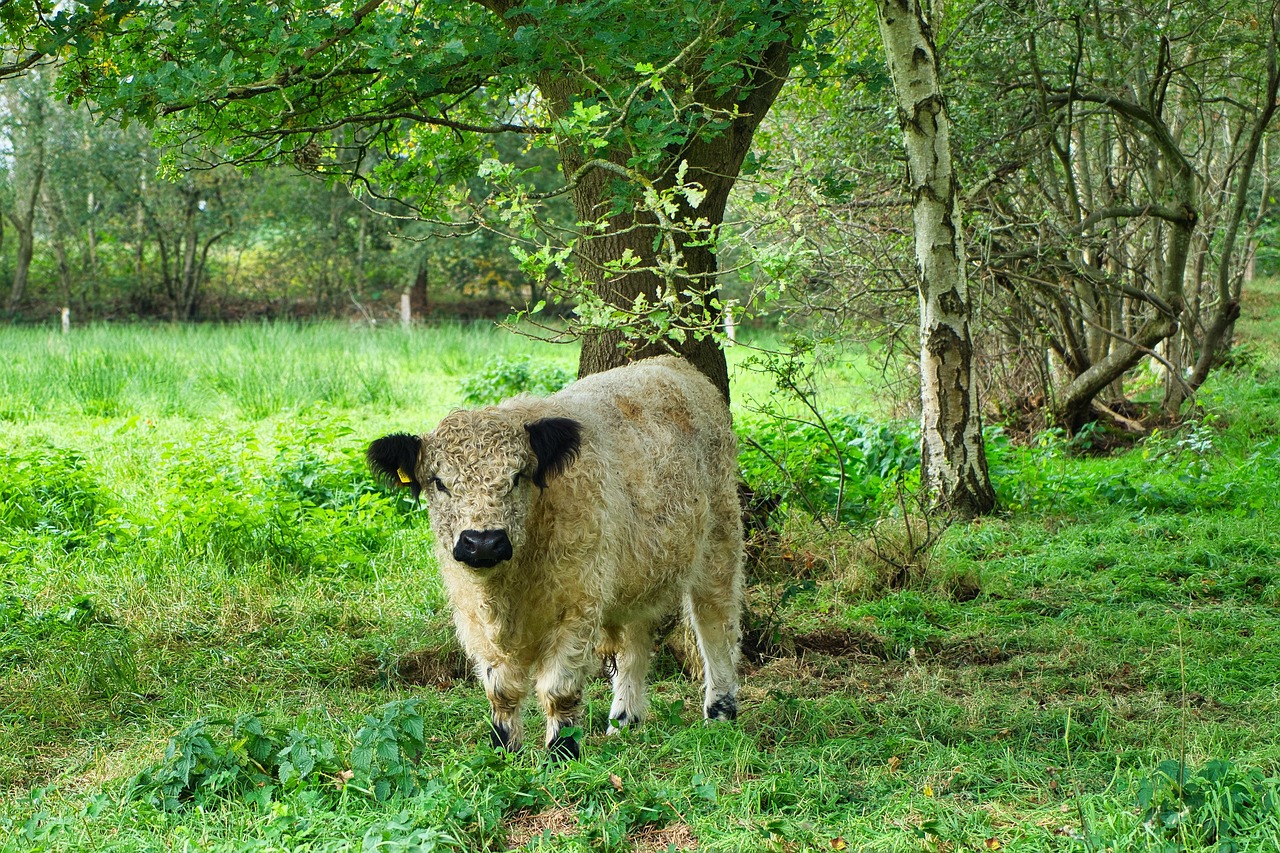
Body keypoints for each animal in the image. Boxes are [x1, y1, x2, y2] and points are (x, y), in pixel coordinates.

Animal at [367, 355, 743, 759]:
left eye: (518, 476)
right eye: (439, 482)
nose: (483, 542)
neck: (507, 595)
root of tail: (671, 363)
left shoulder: (577, 606)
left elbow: (559, 688)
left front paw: (562, 752)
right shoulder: (472, 615)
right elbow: (500, 689)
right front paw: (504, 750)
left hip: (719, 538)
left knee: (715, 622)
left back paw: (720, 711)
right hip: (636, 570)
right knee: (634, 643)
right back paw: (624, 720)